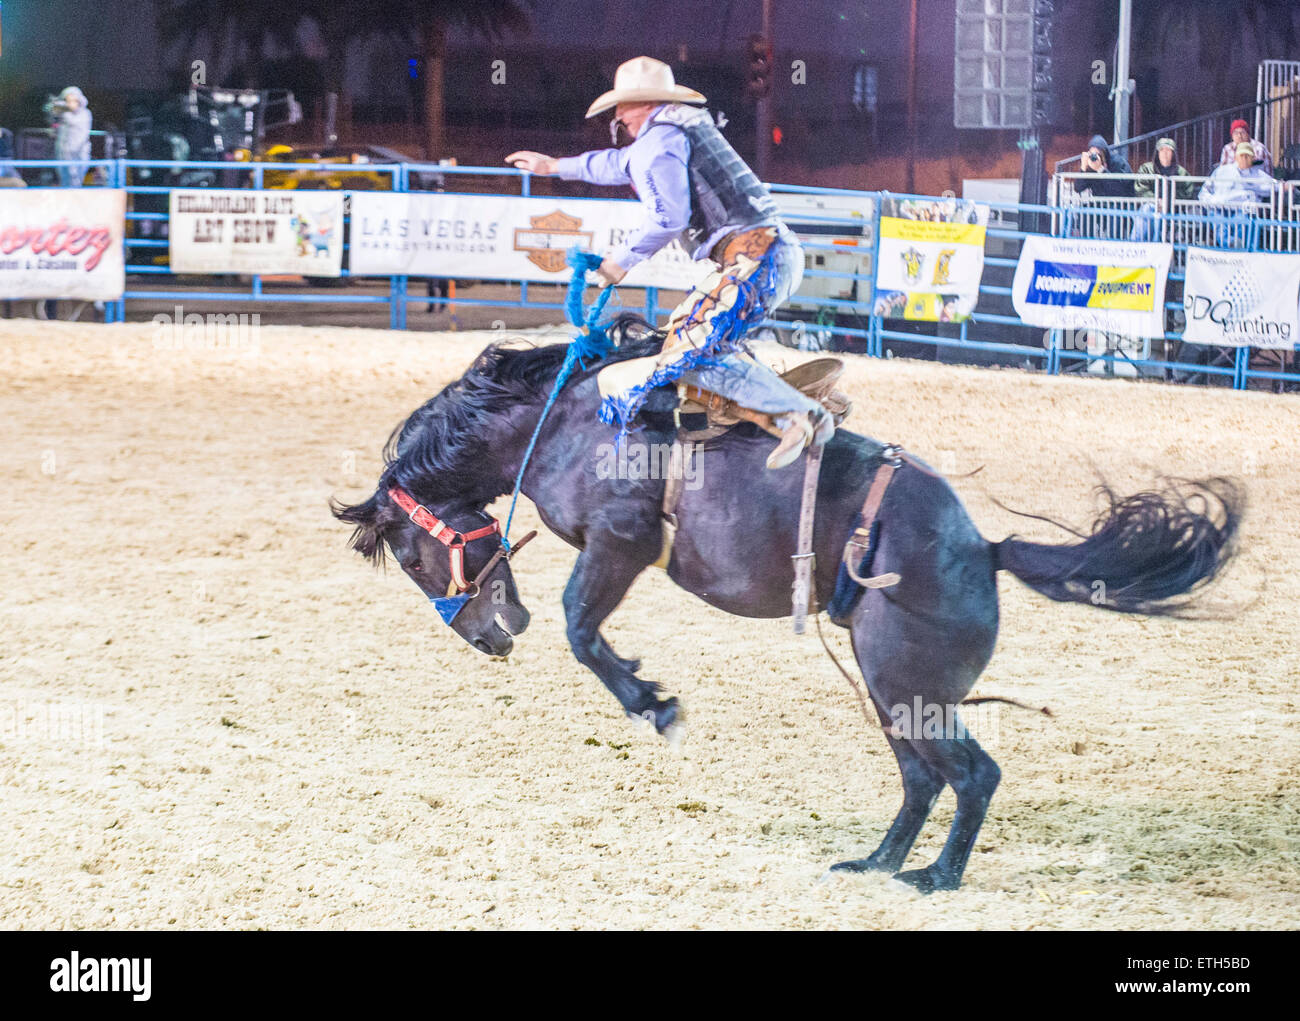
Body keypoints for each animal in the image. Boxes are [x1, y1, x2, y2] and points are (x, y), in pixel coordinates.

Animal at [332, 319, 1241, 893]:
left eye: (411, 556)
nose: (486, 636)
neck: (561, 422)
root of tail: (985, 548)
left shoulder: (621, 540)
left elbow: (581, 629)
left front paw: (654, 704)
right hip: (891, 686)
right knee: (924, 776)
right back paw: (875, 863)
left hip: (905, 681)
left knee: (972, 772)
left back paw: (936, 877)